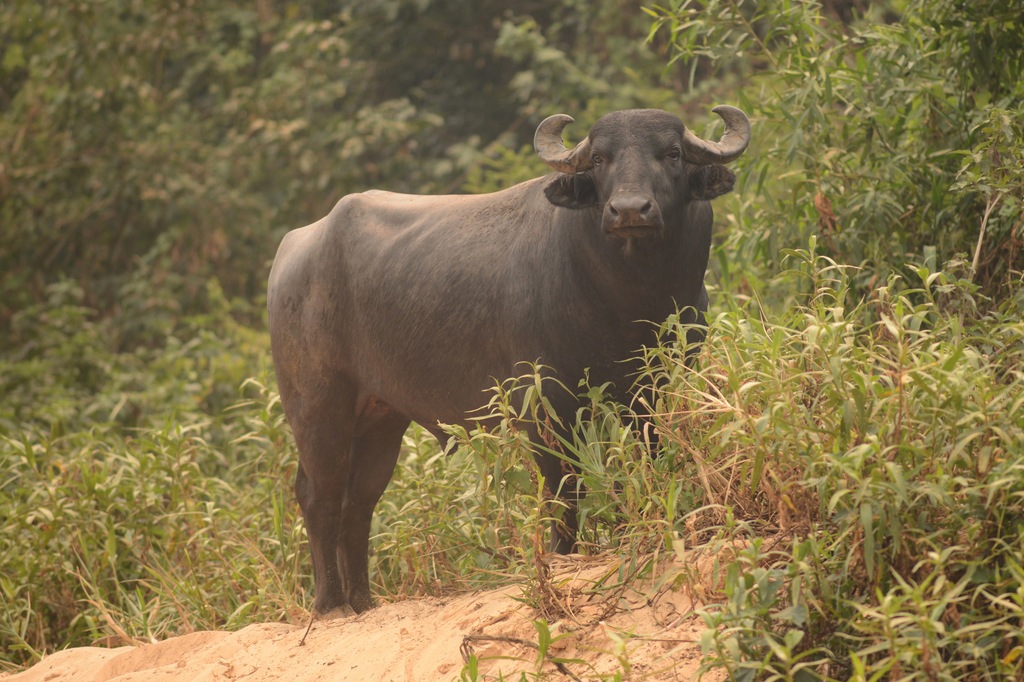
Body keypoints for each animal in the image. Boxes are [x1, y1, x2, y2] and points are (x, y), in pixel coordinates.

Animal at [267, 105, 750, 614]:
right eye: (600, 158)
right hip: (317, 408)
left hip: (380, 418)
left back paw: (363, 601)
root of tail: (295, 249)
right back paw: (330, 604)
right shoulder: (542, 407)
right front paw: (564, 558)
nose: (630, 210)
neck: (628, 303)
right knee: (318, 496)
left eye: (672, 152)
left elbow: (651, 464)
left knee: (358, 502)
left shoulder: (654, 393)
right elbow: (563, 489)